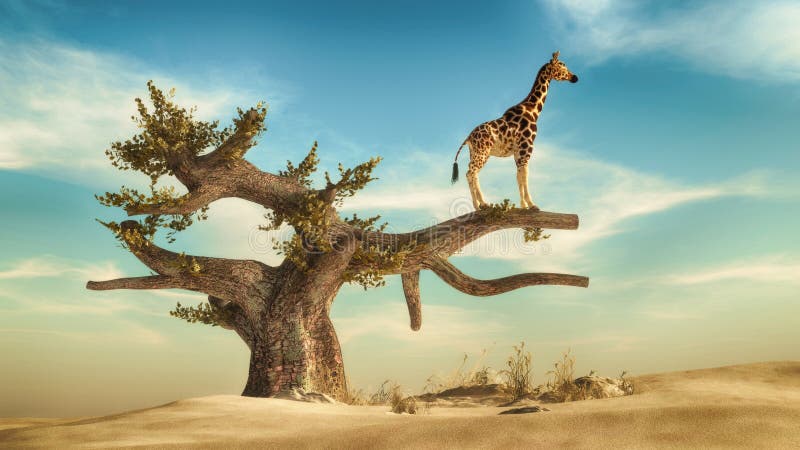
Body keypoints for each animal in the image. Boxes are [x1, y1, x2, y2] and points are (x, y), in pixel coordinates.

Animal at [451, 51, 578, 210]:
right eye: (562, 65)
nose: (575, 77)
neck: (534, 110)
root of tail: (468, 137)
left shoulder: (519, 150)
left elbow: (519, 176)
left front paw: (524, 205)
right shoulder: (527, 147)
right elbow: (524, 175)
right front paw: (532, 204)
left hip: (477, 153)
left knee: (473, 174)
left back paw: (482, 204)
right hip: (482, 152)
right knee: (470, 172)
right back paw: (479, 205)